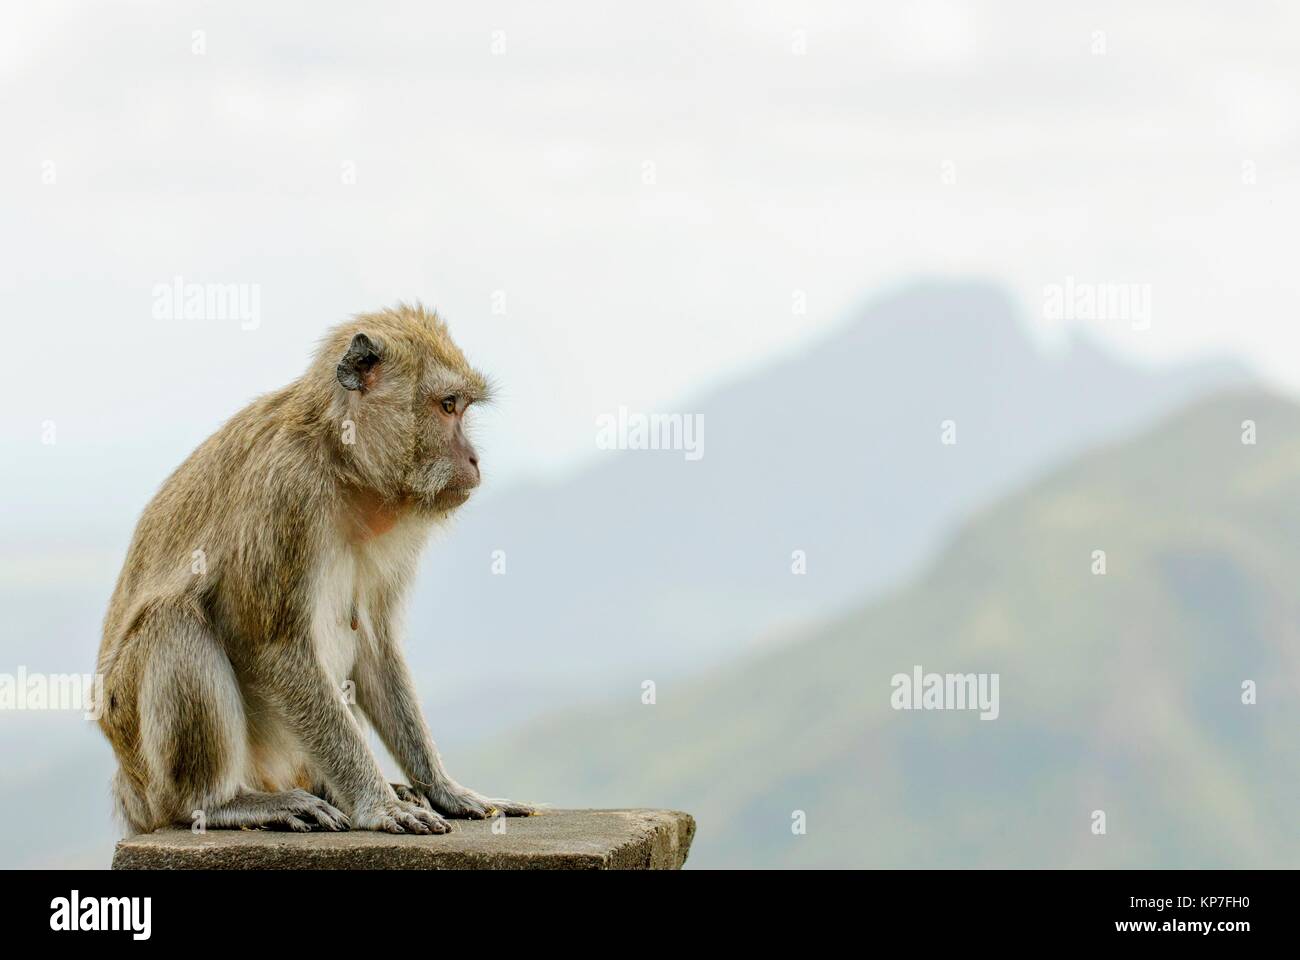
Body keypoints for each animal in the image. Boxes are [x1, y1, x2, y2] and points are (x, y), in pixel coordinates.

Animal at [94, 303, 533, 835]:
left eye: (461, 408)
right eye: (448, 406)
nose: (473, 459)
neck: (341, 463)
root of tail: (129, 793)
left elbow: (375, 646)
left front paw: (443, 789)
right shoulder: (286, 493)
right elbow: (275, 647)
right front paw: (380, 805)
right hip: (151, 761)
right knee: (175, 622)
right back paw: (220, 803)